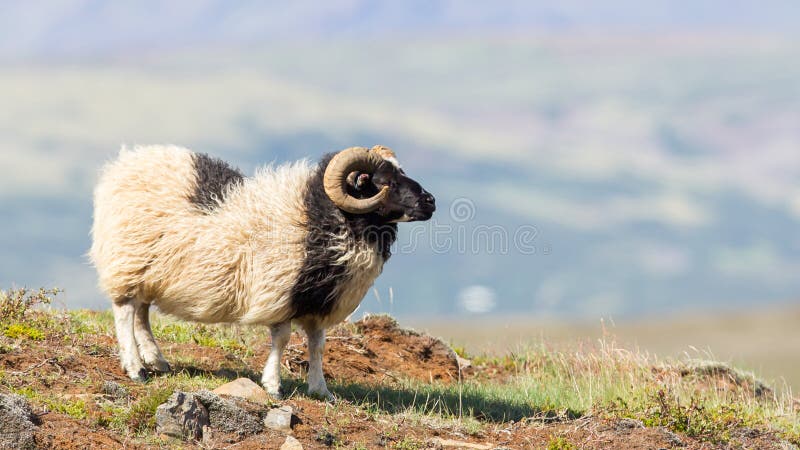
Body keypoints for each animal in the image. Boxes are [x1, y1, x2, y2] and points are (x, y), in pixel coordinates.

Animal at [89, 144, 436, 400]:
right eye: (383, 180)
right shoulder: (279, 292)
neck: (318, 215)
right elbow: (281, 340)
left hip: (150, 272)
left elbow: (317, 345)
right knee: (125, 312)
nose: (431, 201)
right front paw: (272, 386)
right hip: (128, 260)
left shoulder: (316, 303)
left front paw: (321, 390)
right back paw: (136, 369)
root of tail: (123, 164)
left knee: (141, 312)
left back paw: (156, 360)